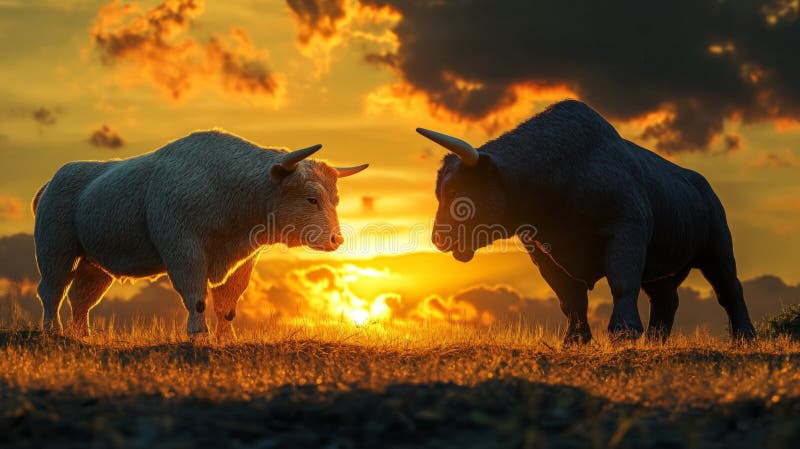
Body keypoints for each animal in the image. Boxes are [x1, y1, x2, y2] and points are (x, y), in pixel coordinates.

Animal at [32, 130, 367, 340]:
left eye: (336, 199)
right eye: (311, 198)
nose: (336, 239)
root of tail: (51, 182)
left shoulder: (242, 260)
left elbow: (227, 301)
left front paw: (227, 337)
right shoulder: (184, 251)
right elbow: (196, 296)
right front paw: (198, 334)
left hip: (95, 263)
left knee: (81, 298)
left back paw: (83, 335)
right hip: (56, 251)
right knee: (52, 290)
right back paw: (53, 331)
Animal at [417, 100, 755, 344]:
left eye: (458, 192)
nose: (439, 239)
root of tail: (703, 186)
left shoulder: (626, 233)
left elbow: (621, 283)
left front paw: (624, 332)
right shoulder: (544, 254)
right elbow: (571, 299)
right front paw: (576, 339)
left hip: (717, 249)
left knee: (730, 290)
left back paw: (745, 336)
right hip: (662, 270)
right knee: (665, 301)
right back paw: (657, 341)